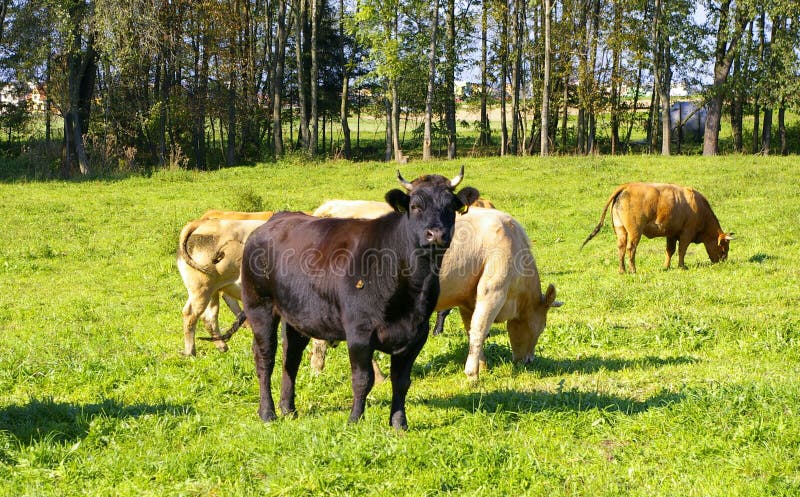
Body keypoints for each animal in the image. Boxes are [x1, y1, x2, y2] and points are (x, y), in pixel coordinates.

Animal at [177, 216, 272, 356]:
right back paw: (190, 352)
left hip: (211, 291)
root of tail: (201, 222)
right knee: (191, 314)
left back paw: (221, 346)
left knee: (209, 316)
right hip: (202, 288)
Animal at [239, 168, 479, 430]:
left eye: (450, 206)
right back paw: (267, 412)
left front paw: (399, 423)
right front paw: (355, 419)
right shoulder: (359, 331)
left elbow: (402, 382)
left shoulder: (417, 334)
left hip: (295, 317)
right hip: (259, 307)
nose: (436, 234)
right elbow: (363, 379)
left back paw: (288, 409)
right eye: (416, 206)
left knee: (290, 358)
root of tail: (273, 220)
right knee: (265, 358)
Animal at [309, 201, 562, 380]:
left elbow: (472, 331)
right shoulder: (492, 291)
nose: (528, 361)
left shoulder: (468, 299)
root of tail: (330, 208)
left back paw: (317, 370)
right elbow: (480, 329)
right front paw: (473, 375)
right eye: (542, 326)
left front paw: (482, 366)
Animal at [582, 182, 734, 273]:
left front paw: (666, 266)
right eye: (724, 249)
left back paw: (622, 270)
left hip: (621, 229)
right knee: (631, 248)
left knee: (621, 247)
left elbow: (670, 251)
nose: (723, 263)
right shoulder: (686, 233)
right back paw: (633, 270)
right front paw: (682, 266)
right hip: (635, 231)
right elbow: (682, 250)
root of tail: (628, 186)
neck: (699, 207)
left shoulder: (671, 234)